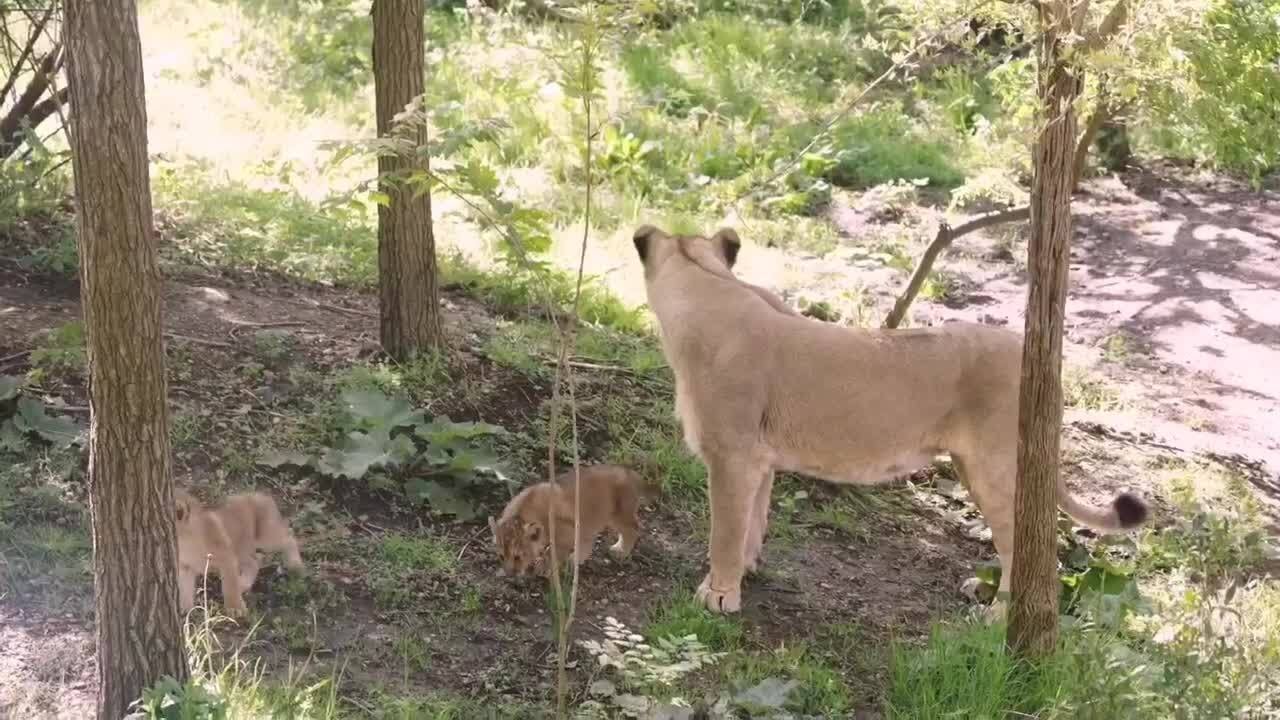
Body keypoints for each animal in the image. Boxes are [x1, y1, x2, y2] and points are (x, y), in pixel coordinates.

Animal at [174, 487, 304, 617]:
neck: (186, 545)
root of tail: (262, 495)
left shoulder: (226, 556)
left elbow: (229, 585)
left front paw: (235, 609)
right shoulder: (185, 567)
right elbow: (185, 588)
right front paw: (185, 610)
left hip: (267, 538)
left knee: (290, 538)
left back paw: (296, 565)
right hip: (243, 549)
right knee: (254, 562)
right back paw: (243, 583)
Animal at [489, 464, 655, 578]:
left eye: (518, 556)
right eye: (501, 556)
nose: (510, 574)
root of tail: (628, 472)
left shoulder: (568, 534)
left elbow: (553, 553)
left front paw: (545, 568)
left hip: (618, 515)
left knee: (634, 529)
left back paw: (620, 550)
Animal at [631, 224, 1148, 615]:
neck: (709, 286)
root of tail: (1043, 367)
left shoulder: (732, 456)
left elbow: (724, 530)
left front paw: (718, 596)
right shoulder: (757, 459)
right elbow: (752, 522)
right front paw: (746, 569)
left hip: (996, 468)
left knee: (1026, 546)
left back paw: (996, 616)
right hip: (974, 466)